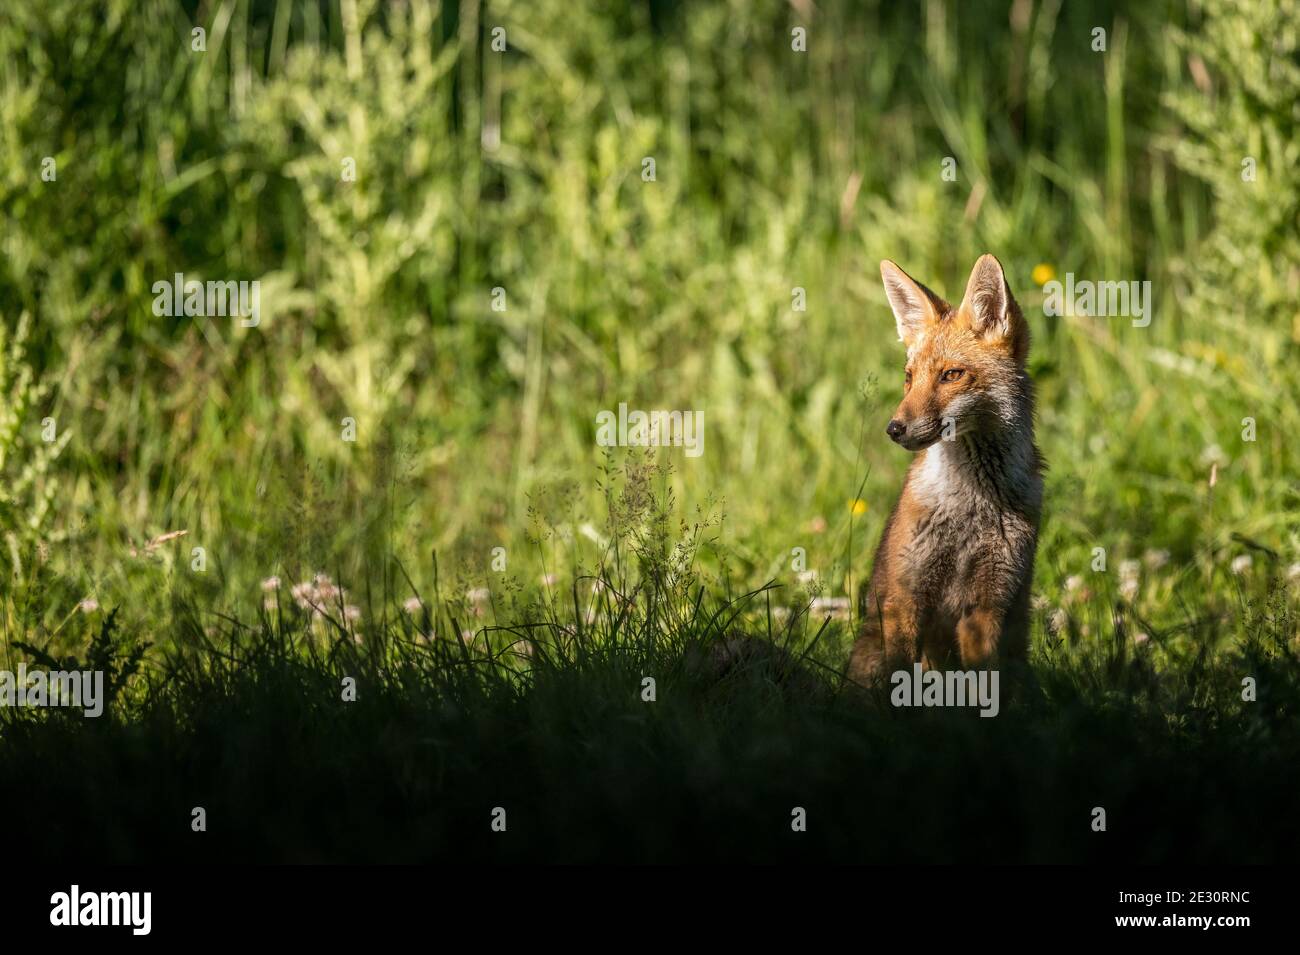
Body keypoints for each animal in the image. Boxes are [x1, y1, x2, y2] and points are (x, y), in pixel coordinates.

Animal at [847, 254, 1044, 683]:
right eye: (908, 378)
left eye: (951, 375)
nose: (894, 429)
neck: (971, 506)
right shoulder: (906, 599)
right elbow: (897, 677)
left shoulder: (987, 607)